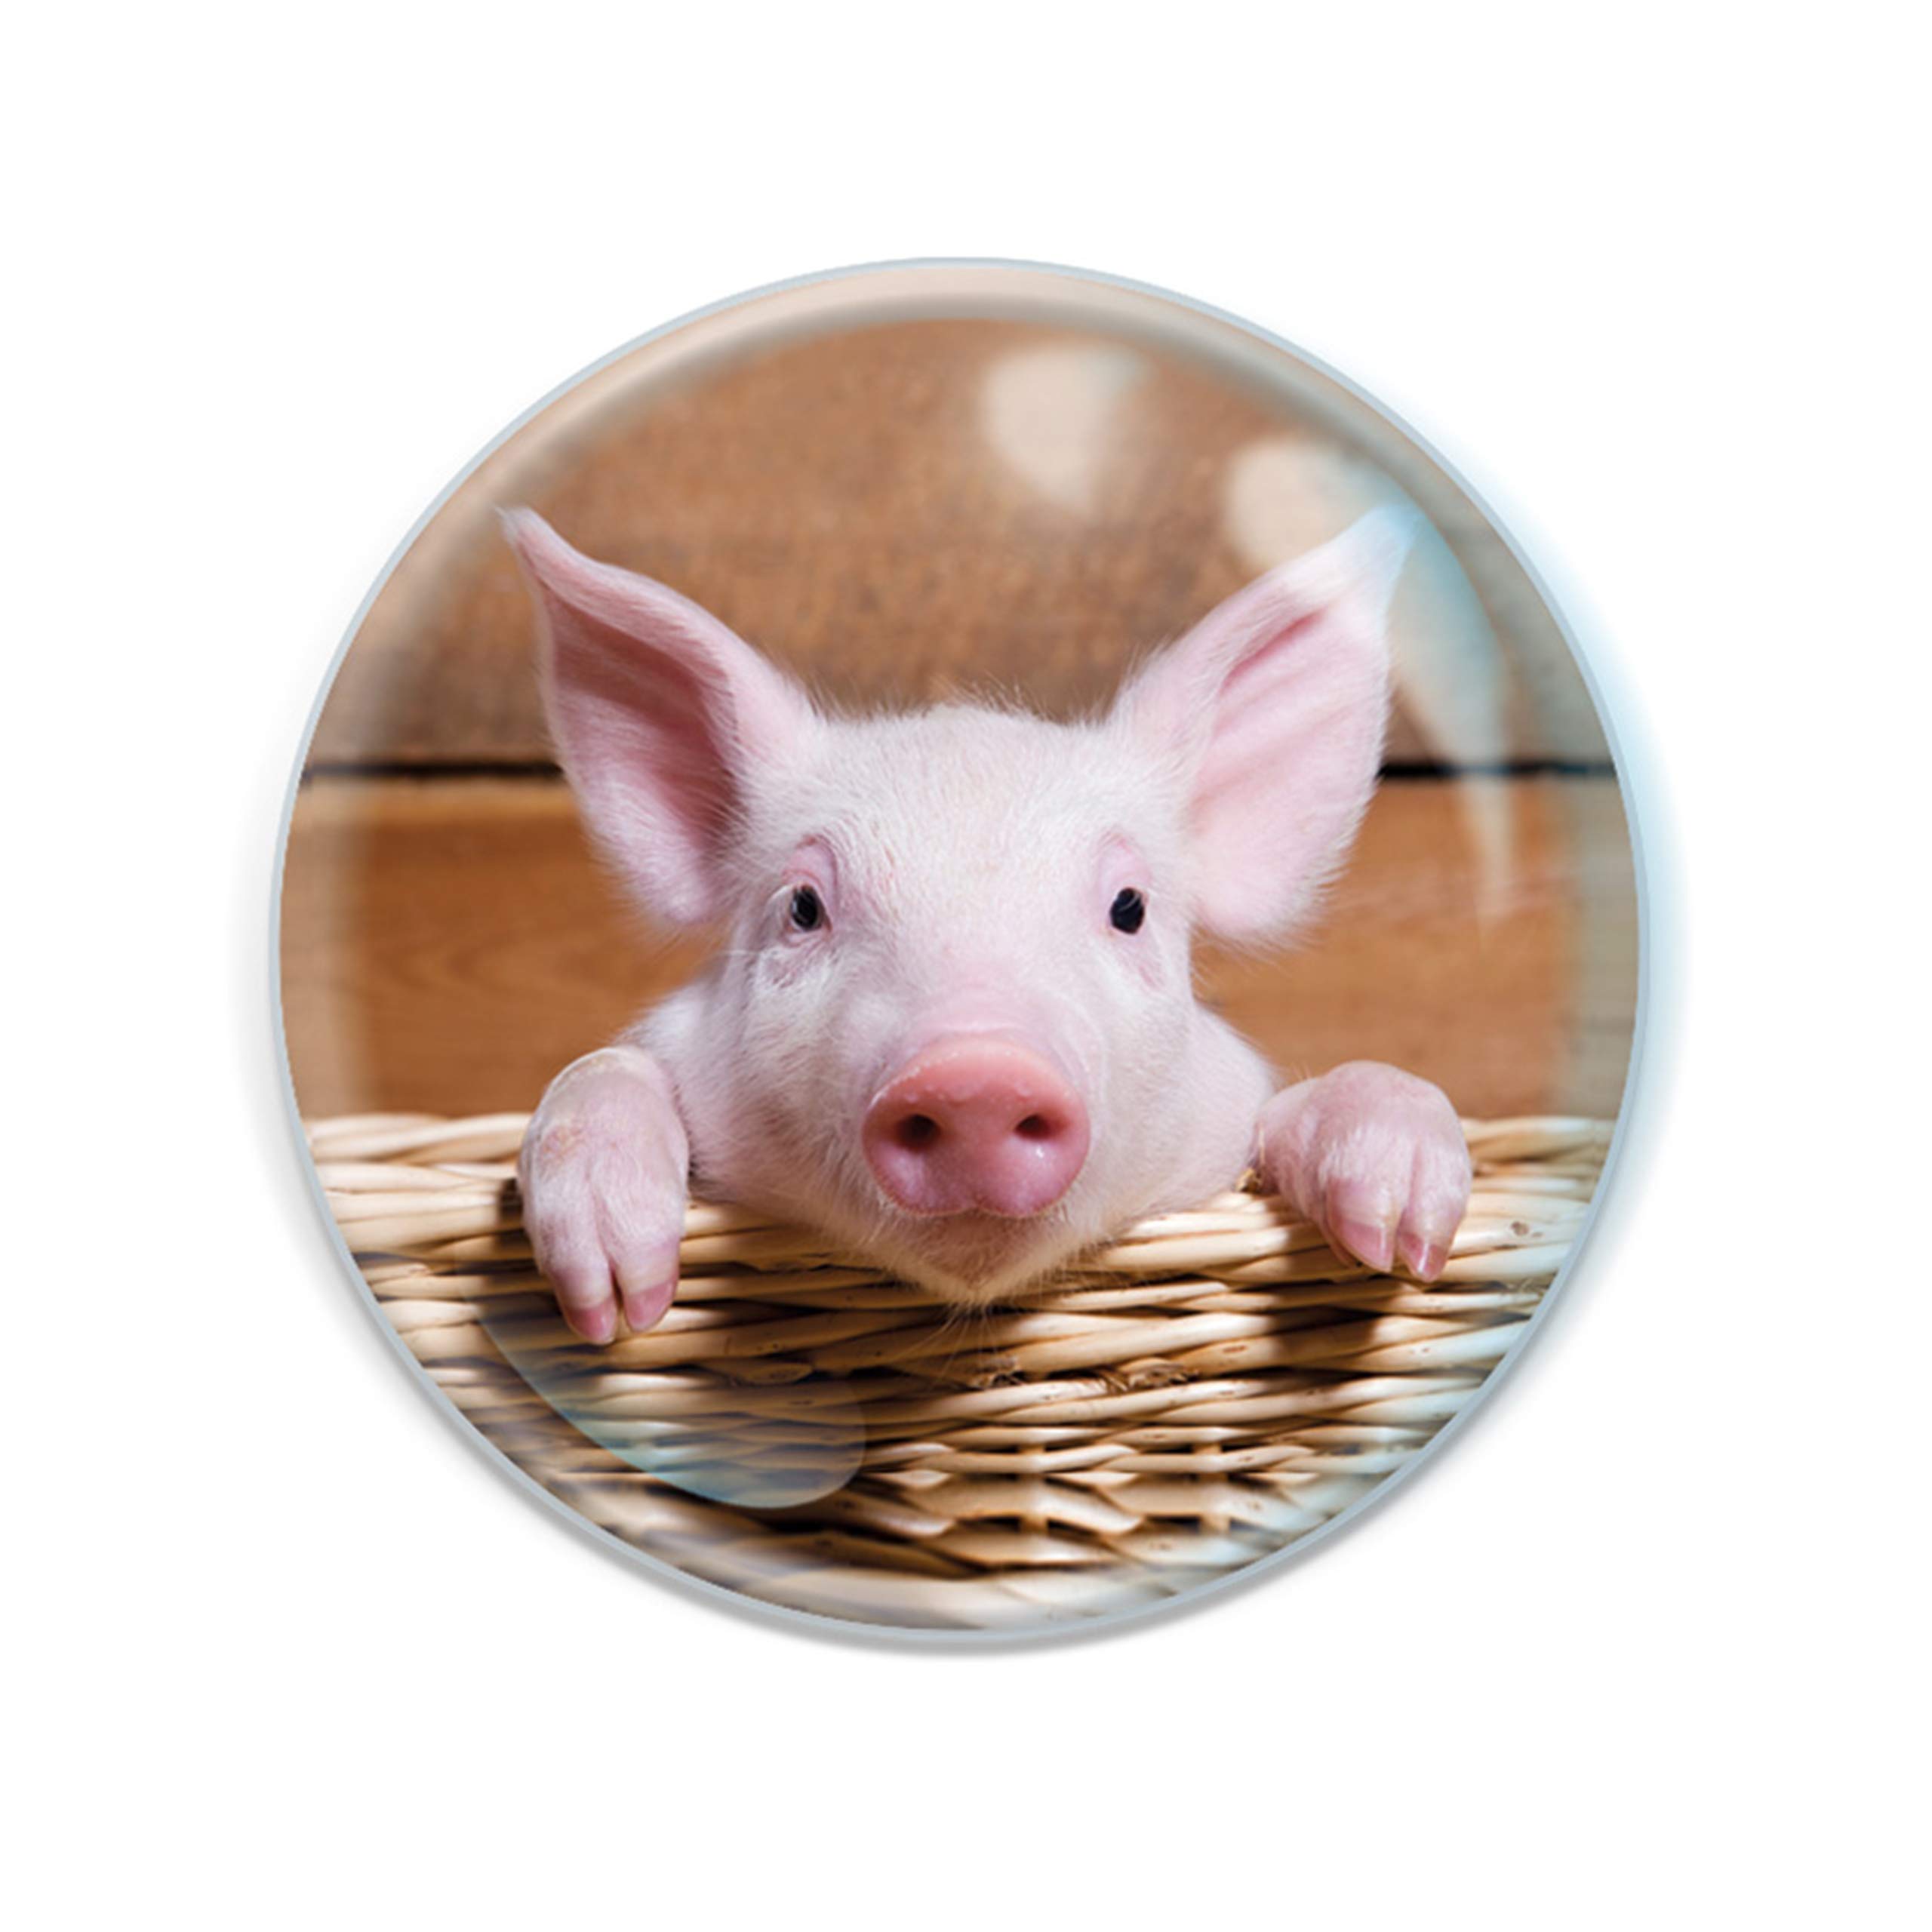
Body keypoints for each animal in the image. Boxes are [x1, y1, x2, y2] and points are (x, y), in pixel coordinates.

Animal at [505, 506, 1472, 1344]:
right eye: (805, 906)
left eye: (1129, 907)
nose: (974, 1077)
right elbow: (600, 1075)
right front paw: (616, 1308)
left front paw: (1400, 1239)